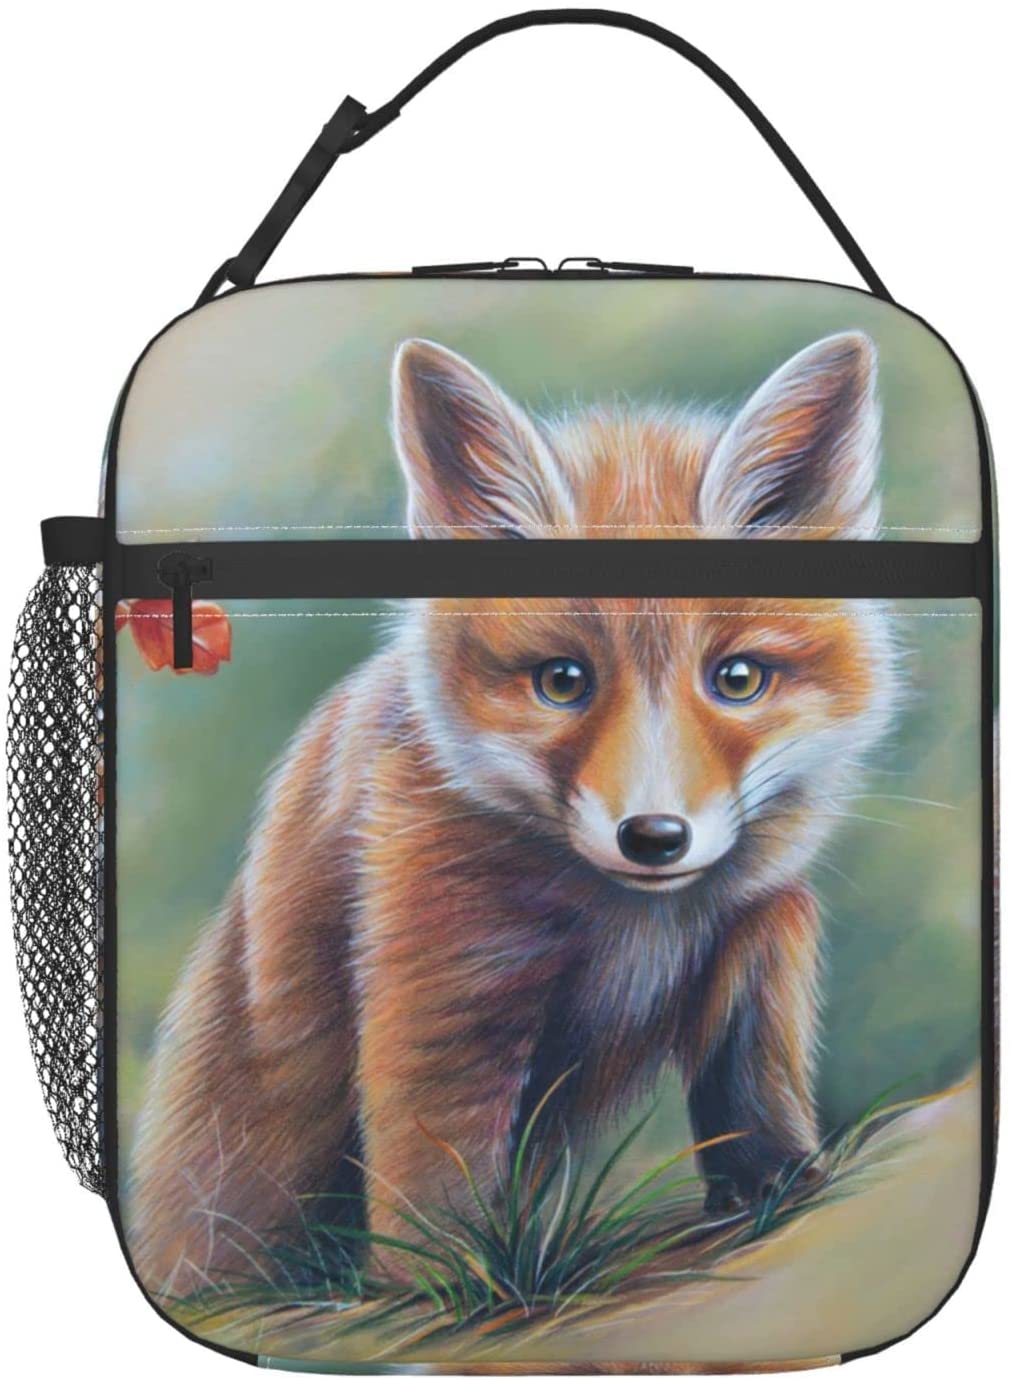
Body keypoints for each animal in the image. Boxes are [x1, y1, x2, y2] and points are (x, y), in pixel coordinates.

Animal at [128, 329, 897, 1297]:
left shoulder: (760, 908)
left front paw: (772, 1176)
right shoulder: (440, 981)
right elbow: (434, 1183)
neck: (627, 921)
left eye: (737, 679)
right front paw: (444, 1288)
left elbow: (751, 1043)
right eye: (562, 682)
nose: (654, 837)